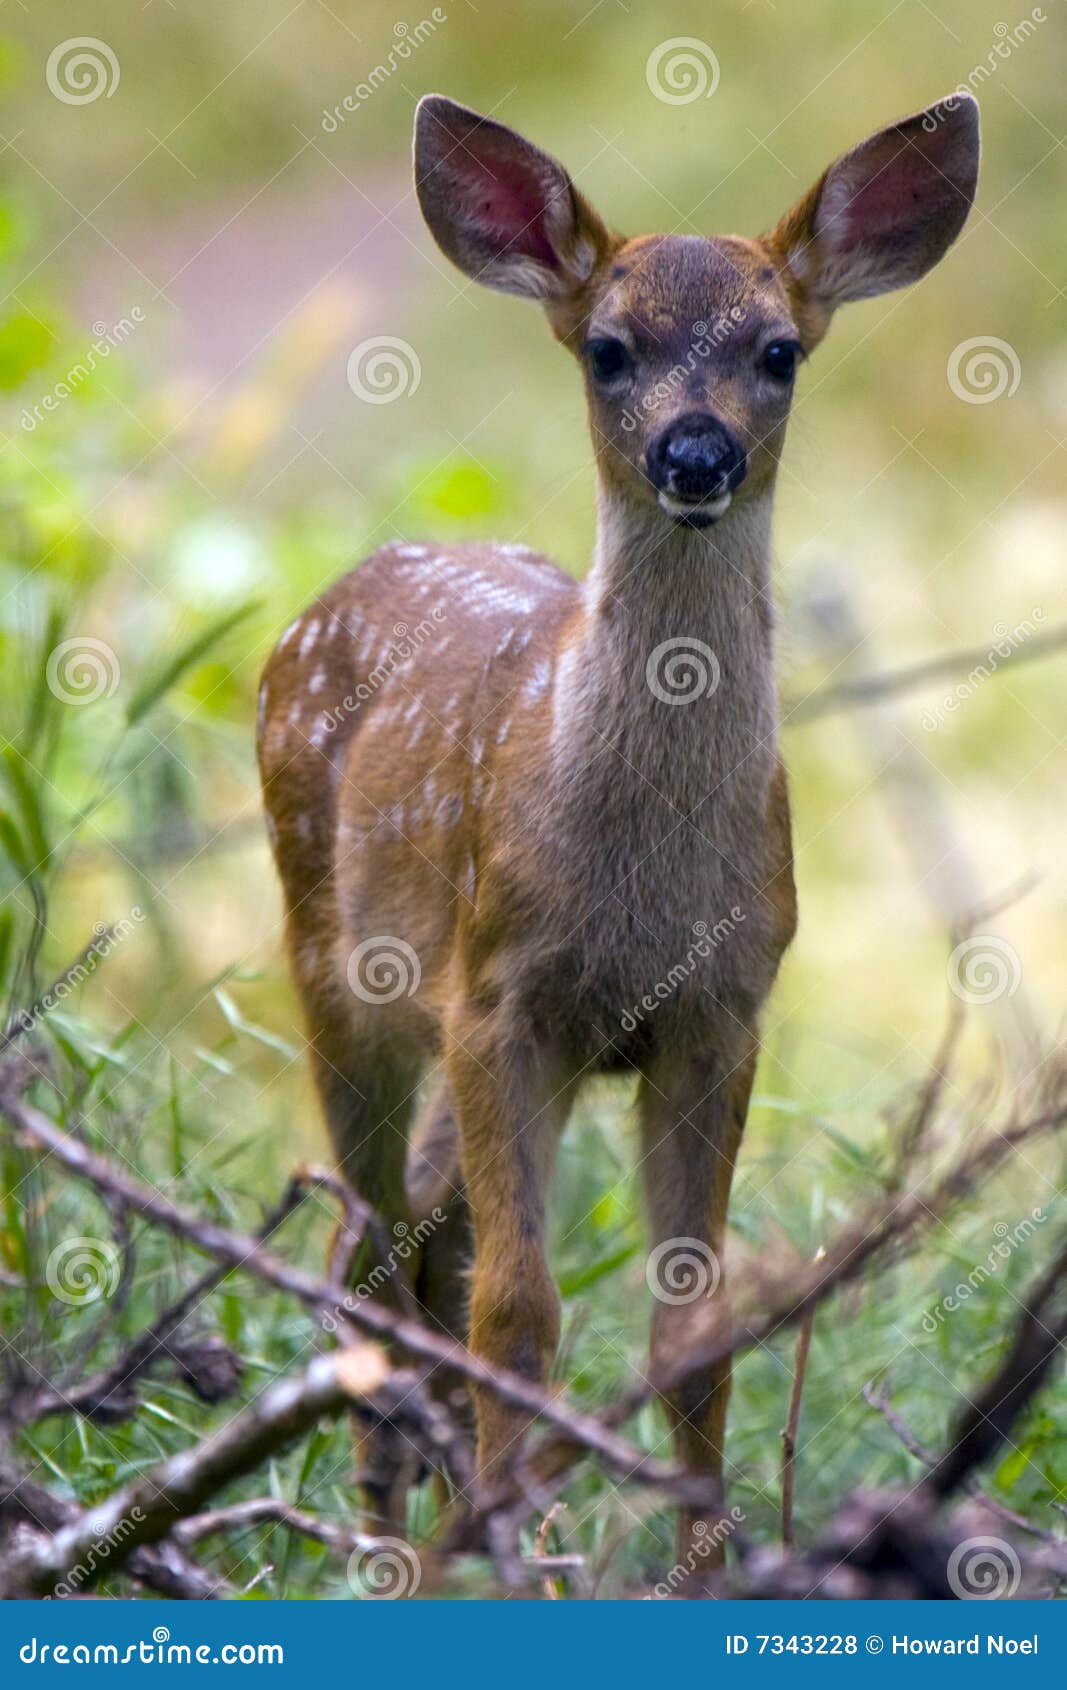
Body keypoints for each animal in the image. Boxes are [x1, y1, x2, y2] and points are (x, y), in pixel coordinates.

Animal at [258, 89, 980, 1570]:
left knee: (419, 1244)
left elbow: (691, 1329)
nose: (692, 453)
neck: (637, 881)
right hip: (333, 973)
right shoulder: (498, 998)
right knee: (368, 1261)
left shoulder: (721, 1005)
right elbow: (515, 1312)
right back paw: (387, 1547)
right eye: (606, 349)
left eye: (775, 351)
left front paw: (705, 1571)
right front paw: (504, 1566)